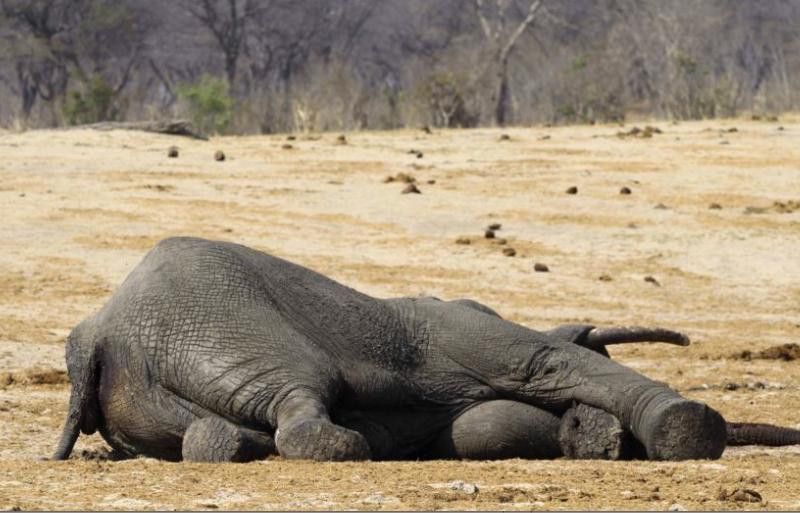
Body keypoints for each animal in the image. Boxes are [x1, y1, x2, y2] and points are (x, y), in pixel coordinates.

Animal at [52, 237, 800, 463]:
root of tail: (97, 332)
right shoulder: (454, 330)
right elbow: (541, 363)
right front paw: (671, 433)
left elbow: (483, 427)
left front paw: (597, 439)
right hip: (218, 313)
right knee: (302, 396)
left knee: (217, 427)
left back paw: (226, 445)